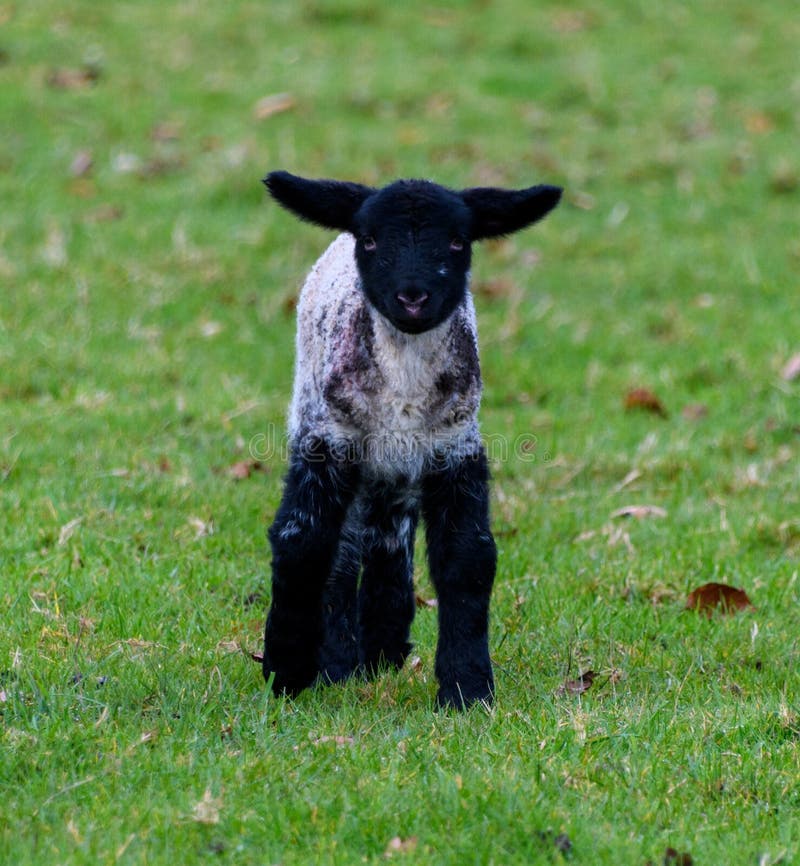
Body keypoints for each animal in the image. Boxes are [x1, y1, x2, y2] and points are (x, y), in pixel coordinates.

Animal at [261, 171, 562, 709]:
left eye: (458, 241)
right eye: (370, 240)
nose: (413, 297)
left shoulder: (456, 445)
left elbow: (467, 556)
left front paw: (467, 688)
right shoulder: (327, 440)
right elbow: (303, 542)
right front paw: (287, 670)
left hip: (394, 471)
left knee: (385, 539)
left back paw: (380, 652)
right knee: (344, 550)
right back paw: (339, 662)